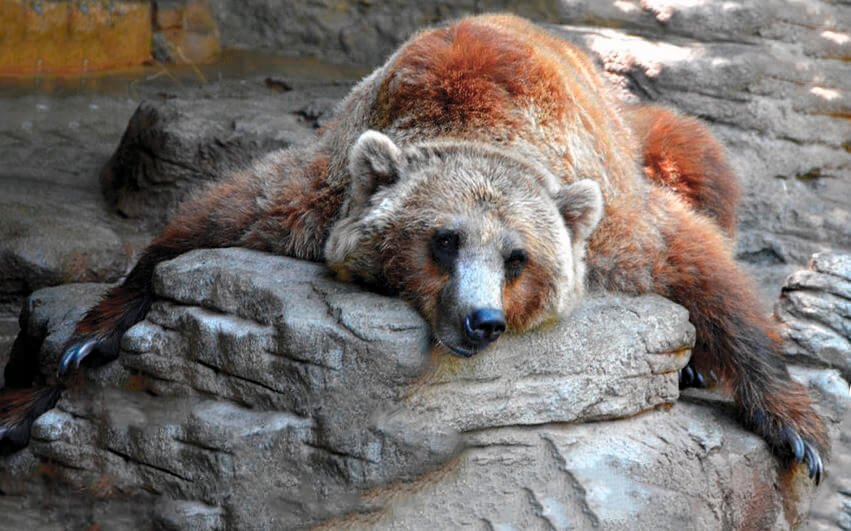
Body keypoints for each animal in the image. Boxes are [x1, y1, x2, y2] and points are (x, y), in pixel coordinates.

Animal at [0, 14, 826, 483]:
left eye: (517, 256)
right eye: (443, 240)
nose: (479, 320)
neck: (478, 120)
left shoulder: (610, 218)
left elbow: (697, 261)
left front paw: (796, 427)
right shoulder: (319, 192)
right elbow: (200, 223)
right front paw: (66, 357)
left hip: (639, 135)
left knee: (699, 160)